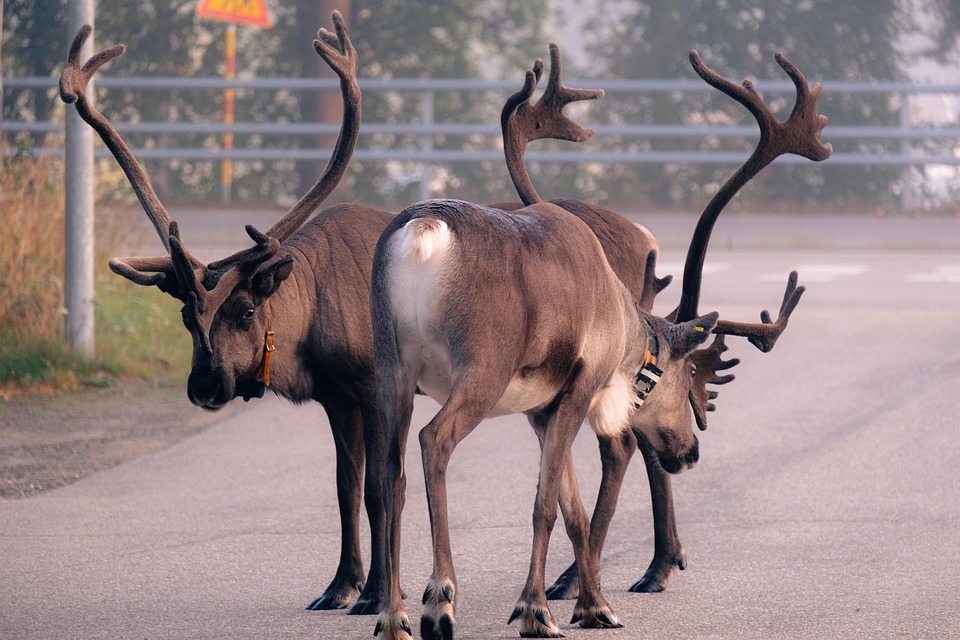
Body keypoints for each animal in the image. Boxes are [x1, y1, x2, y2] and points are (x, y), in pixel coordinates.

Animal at [59, 13, 400, 615]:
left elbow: (379, 491)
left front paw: (378, 596)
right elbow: (345, 488)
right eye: (184, 319)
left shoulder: (374, 388)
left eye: (244, 312)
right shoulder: (338, 399)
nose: (204, 385)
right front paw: (339, 586)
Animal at [368, 49, 829, 640]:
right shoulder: (582, 383)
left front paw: (590, 603)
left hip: (392, 368)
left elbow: (573, 509)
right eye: (686, 375)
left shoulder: (542, 407)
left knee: (390, 474)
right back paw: (439, 600)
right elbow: (547, 505)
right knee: (434, 441)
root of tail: (424, 233)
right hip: (480, 370)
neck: (624, 322)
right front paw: (540, 611)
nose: (690, 453)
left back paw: (393, 614)